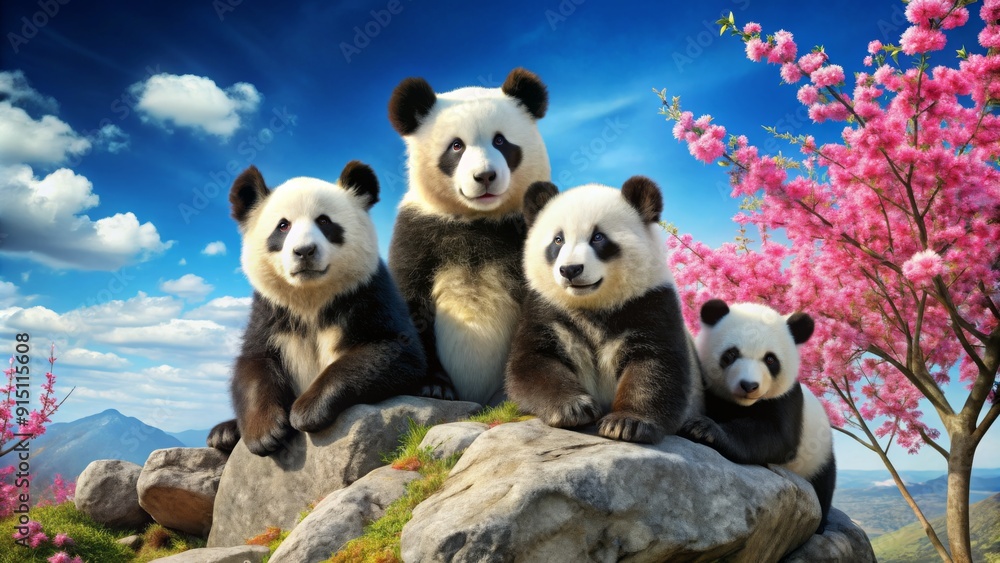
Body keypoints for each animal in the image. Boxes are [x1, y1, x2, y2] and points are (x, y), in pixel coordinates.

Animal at [206, 161, 426, 456]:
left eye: (324, 221)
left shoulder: (367, 292)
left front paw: (307, 410)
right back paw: (224, 433)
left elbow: (393, 349)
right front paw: (265, 433)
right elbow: (255, 361)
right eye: (283, 226)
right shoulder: (270, 310)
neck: (309, 296)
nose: (304, 251)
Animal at [387, 68, 550, 405]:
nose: (485, 176)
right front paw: (434, 387)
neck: (477, 219)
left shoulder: (525, 227)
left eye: (500, 140)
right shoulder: (417, 229)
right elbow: (410, 301)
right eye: (456, 146)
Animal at [505, 177, 701, 444]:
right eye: (558, 240)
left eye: (598, 237)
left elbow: (656, 365)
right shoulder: (545, 307)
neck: (592, 303)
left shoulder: (652, 302)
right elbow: (533, 362)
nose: (570, 269)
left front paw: (627, 423)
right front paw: (573, 408)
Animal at [679, 299, 836, 533]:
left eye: (770, 359)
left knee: (824, 485)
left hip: (818, 456)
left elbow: (775, 437)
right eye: (731, 354)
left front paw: (704, 429)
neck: (742, 405)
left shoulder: (787, 400)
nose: (749, 385)